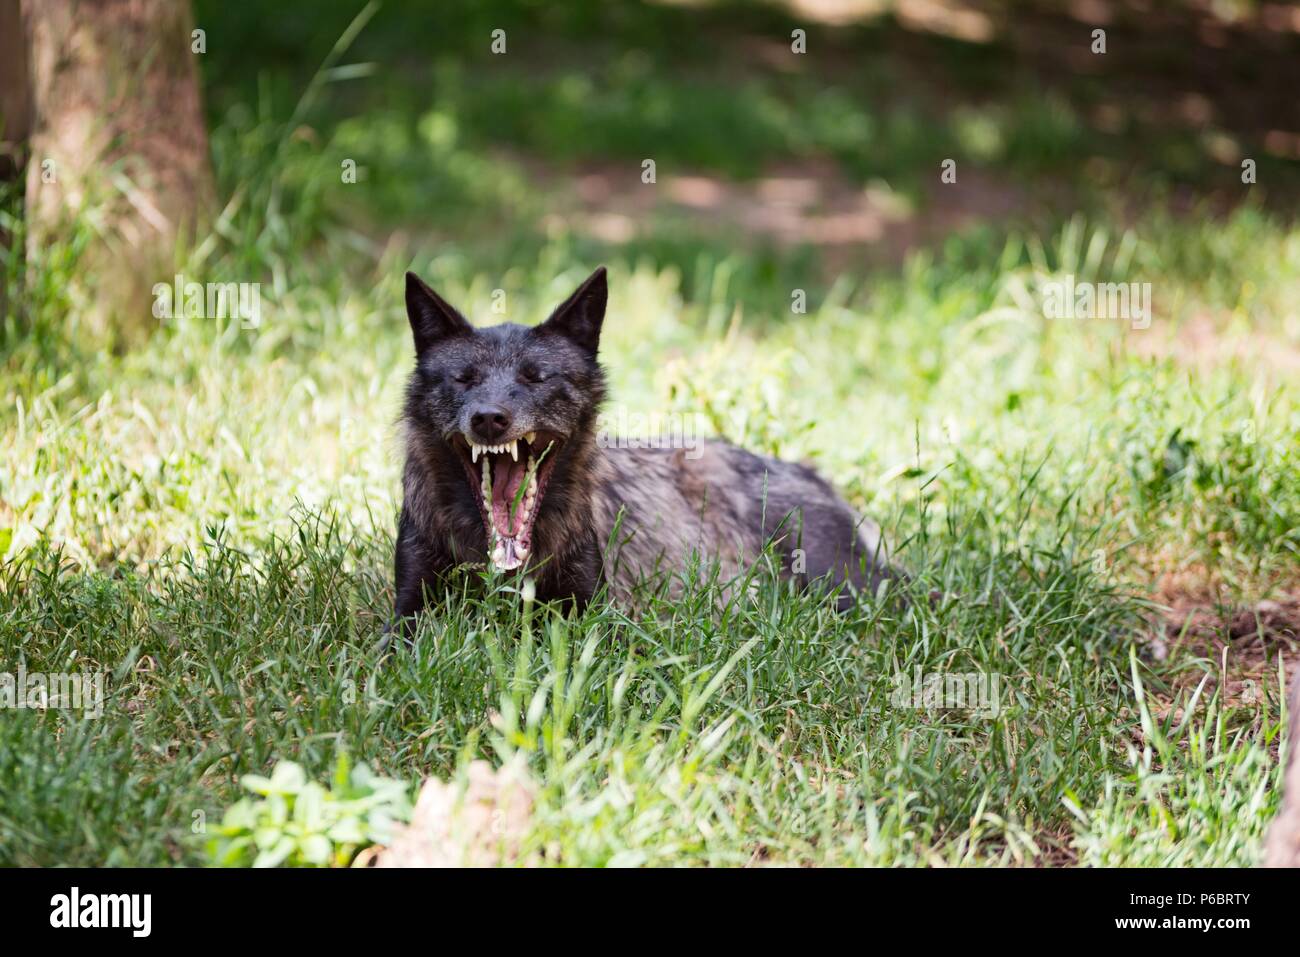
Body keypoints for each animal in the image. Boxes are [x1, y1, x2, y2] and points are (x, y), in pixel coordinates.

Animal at [391, 266, 897, 635]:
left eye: (536, 378)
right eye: (464, 379)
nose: (489, 419)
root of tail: (810, 473)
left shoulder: (594, 613)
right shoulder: (409, 611)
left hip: (844, 585)